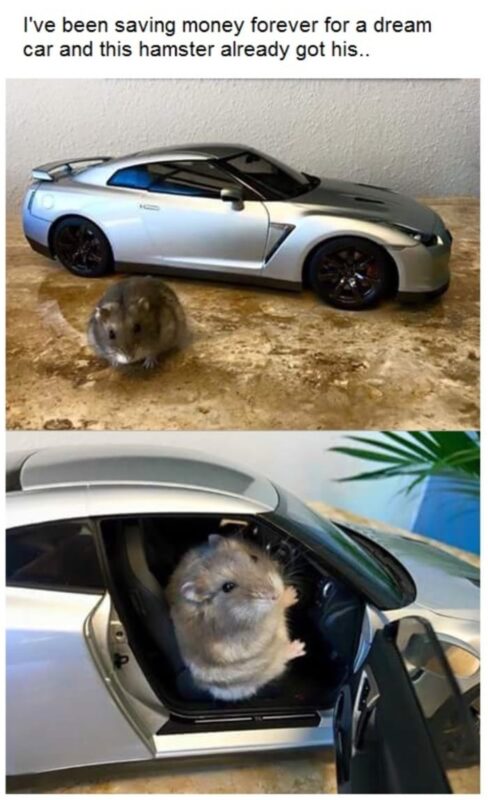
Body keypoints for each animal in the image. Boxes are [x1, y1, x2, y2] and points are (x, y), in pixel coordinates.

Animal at [166, 534, 305, 701]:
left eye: (254, 557)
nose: (274, 595)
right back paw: (299, 647)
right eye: (227, 587)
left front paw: (292, 592)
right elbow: (277, 610)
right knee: (280, 658)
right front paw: (293, 594)